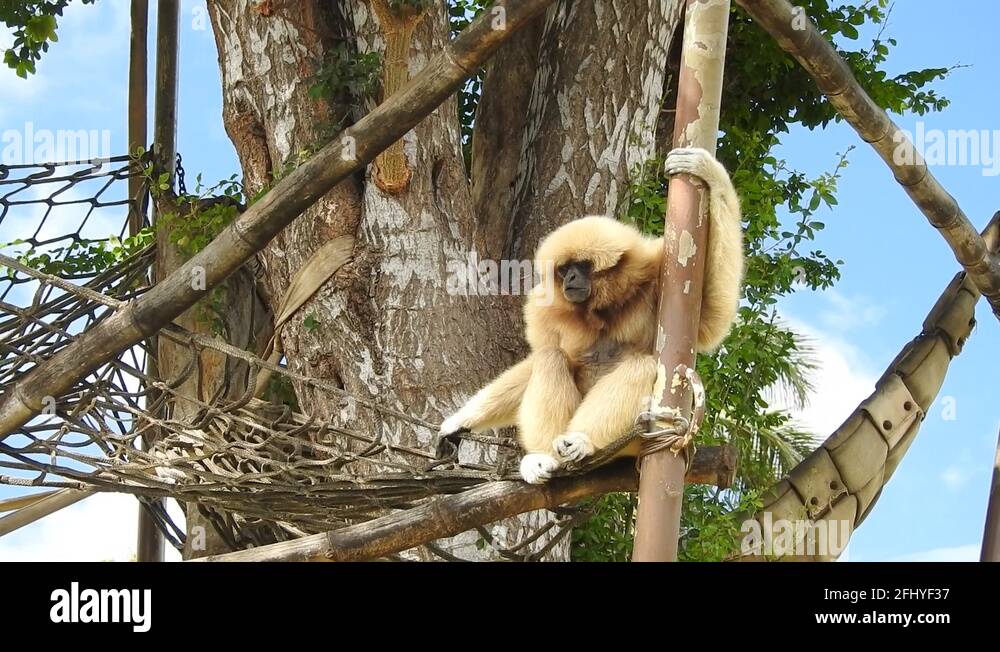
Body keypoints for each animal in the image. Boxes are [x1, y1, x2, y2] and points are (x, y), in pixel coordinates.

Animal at [439, 147, 743, 483]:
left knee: (643, 364)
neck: (603, 308)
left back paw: (582, 440)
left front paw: (710, 172)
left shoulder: (661, 271)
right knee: (550, 357)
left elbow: (712, 316)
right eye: (563, 269)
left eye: (582, 266)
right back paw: (543, 457)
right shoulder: (542, 308)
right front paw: (459, 421)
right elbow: (539, 357)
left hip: (635, 440)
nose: (571, 278)